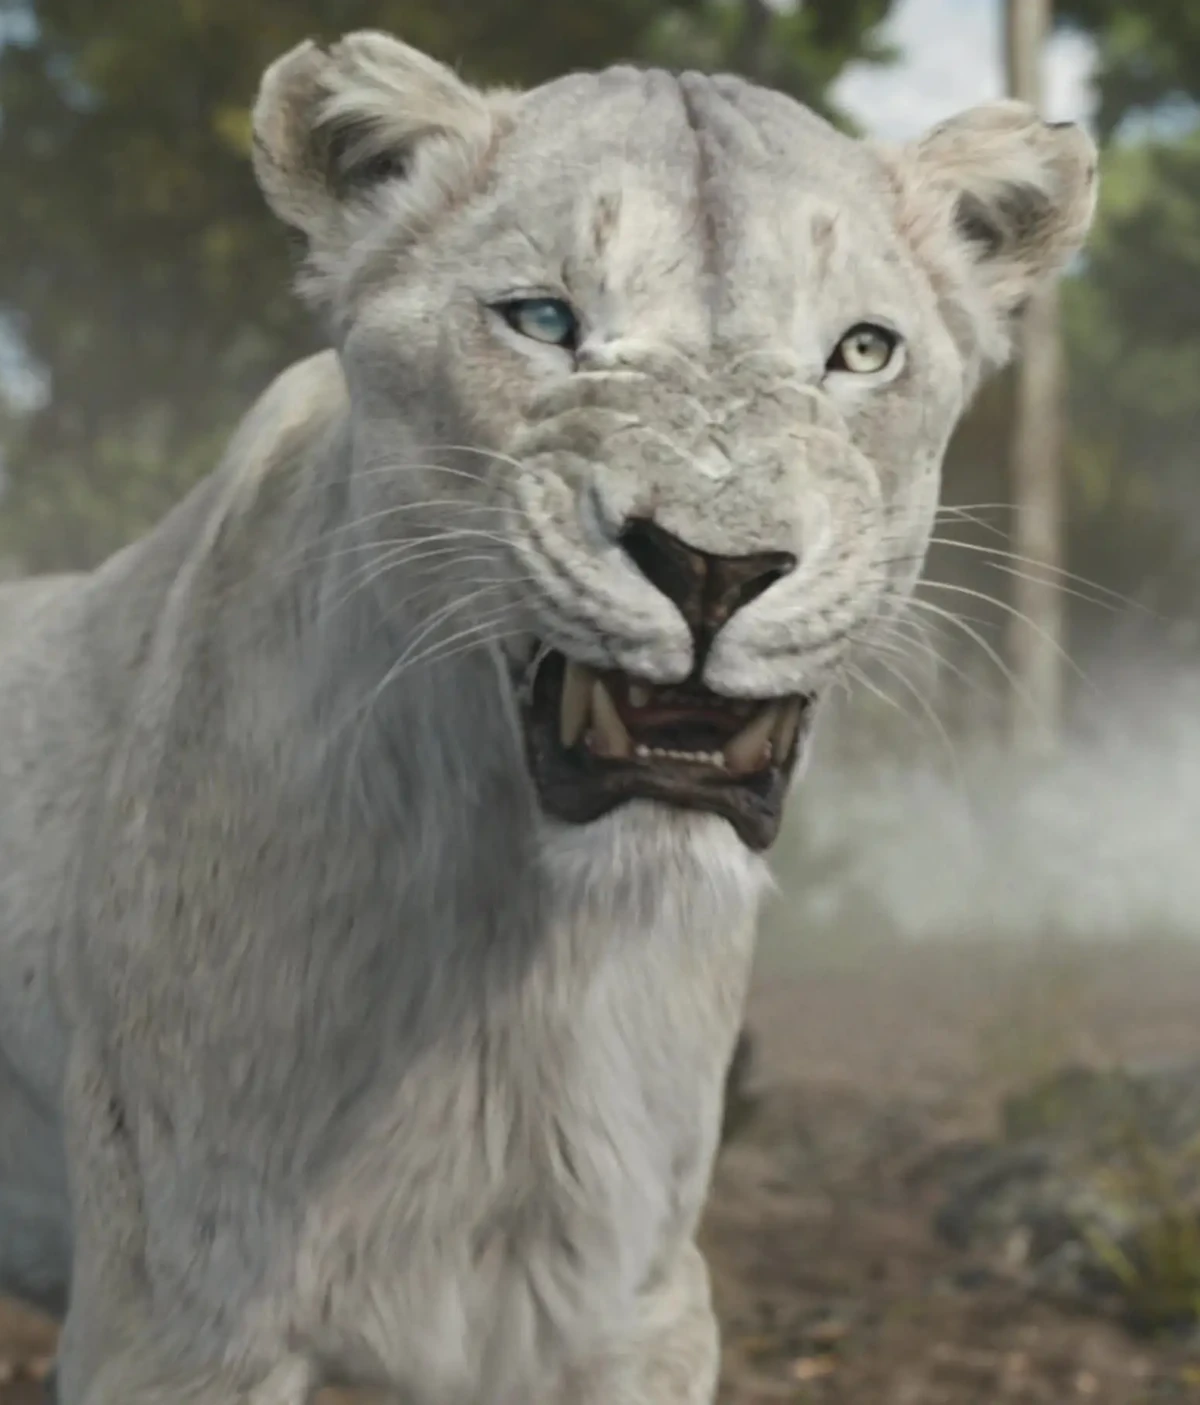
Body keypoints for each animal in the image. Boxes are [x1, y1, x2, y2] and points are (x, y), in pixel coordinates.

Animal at [0, 30, 1095, 1404]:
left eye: (860, 352)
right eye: (542, 319)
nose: (715, 568)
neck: (516, 970)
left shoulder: (638, 1309)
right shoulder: (179, 1324)